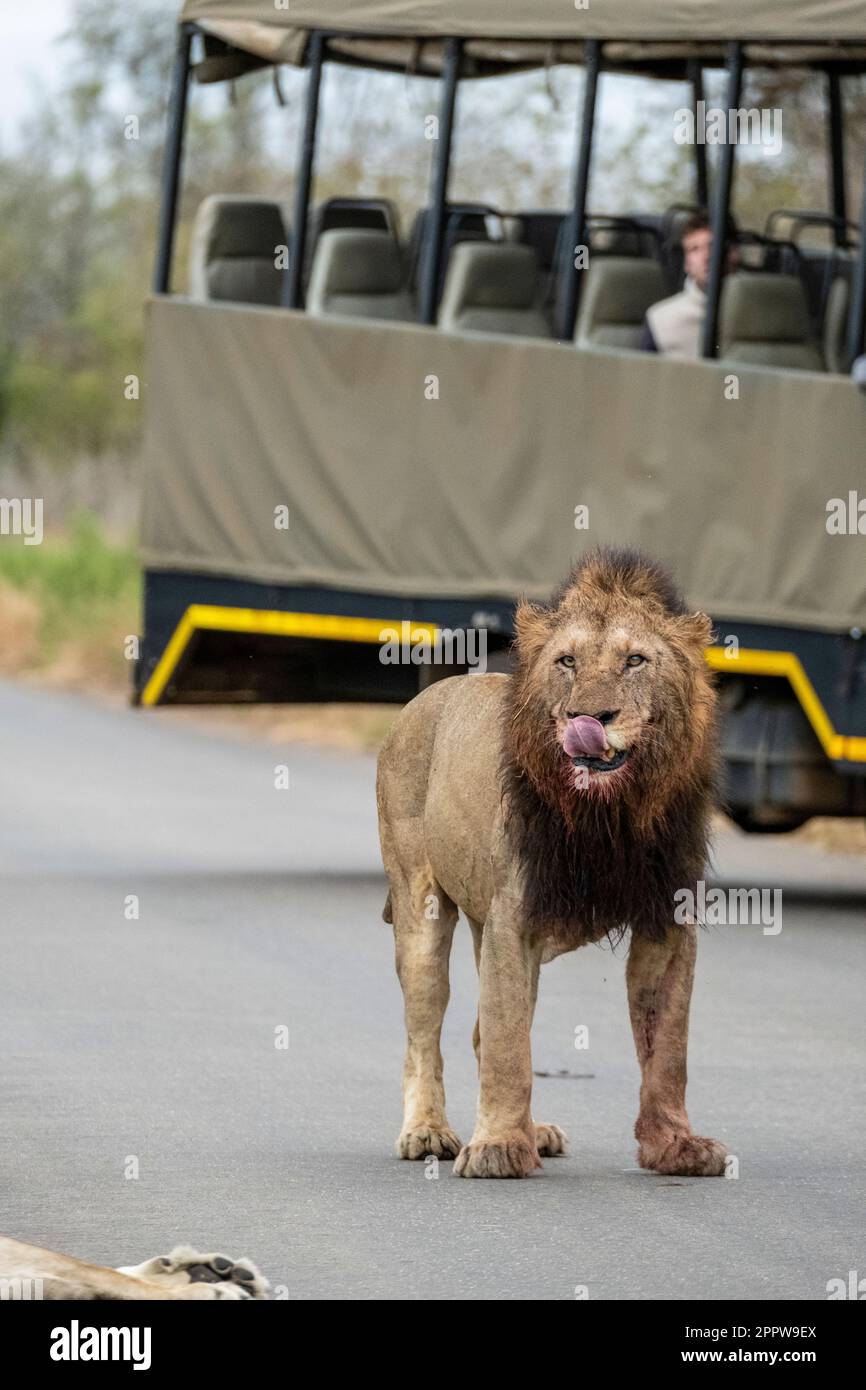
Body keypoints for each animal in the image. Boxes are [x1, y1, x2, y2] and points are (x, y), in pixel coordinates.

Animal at [376, 547, 728, 1179]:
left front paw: (676, 1147)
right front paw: (496, 1149)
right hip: (423, 907)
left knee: (481, 1030)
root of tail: (421, 701)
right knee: (426, 1030)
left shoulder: (666, 922)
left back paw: (533, 1131)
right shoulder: (513, 920)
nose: (591, 716)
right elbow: (509, 1044)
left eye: (634, 660)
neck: (610, 817)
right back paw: (430, 1133)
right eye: (567, 662)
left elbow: (667, 1049)